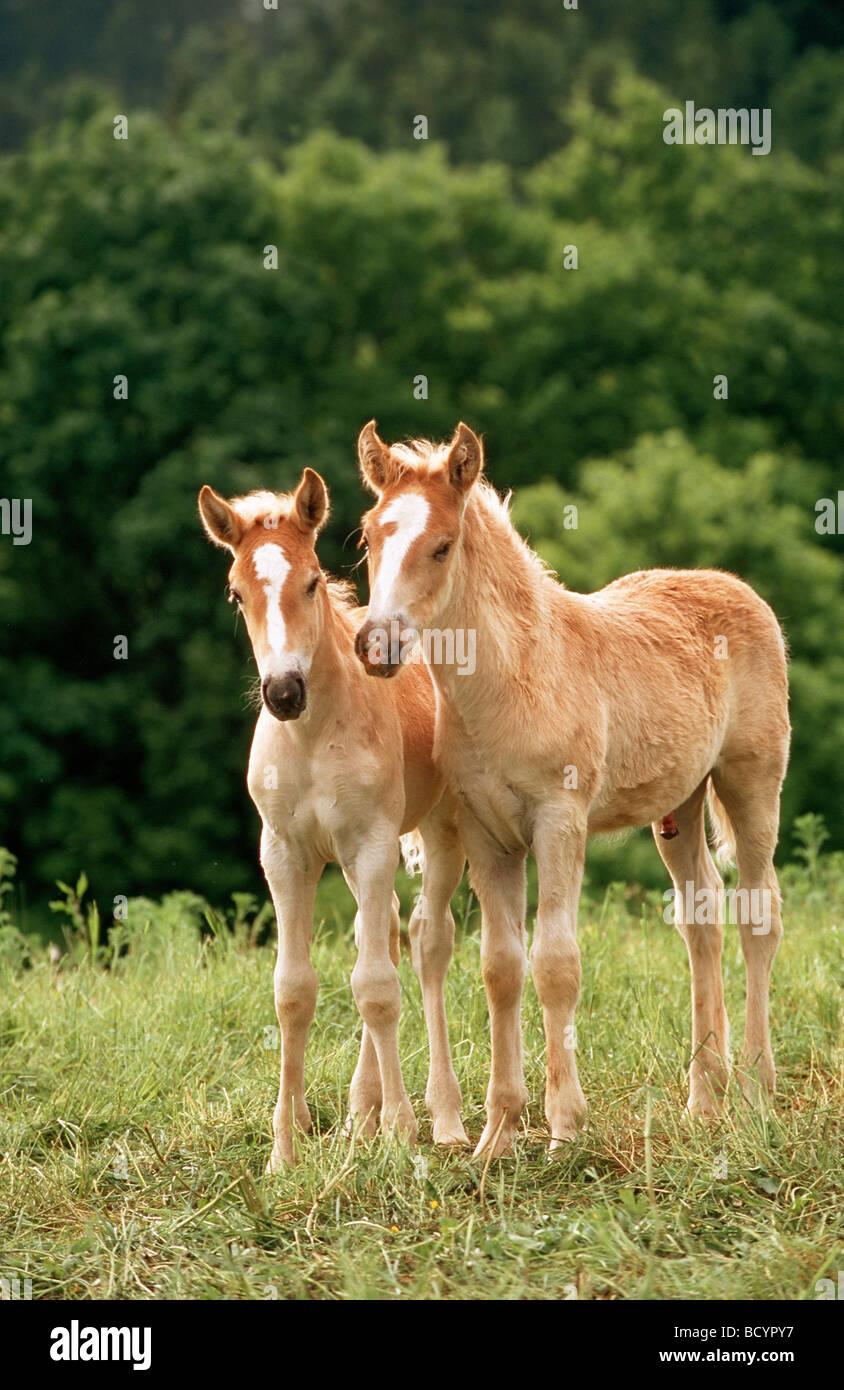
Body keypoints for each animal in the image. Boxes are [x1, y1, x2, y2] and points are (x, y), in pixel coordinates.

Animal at [198, 468, 469, 1170]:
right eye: (237, 593)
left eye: (313, 581)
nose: (283, 692)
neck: (315, 735)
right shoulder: (285, 854)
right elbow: (294, 990)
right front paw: (284, 1150)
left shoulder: (372, 844)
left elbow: (375, 987)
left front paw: (401, 1134)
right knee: (385, 932)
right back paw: (358, 1115)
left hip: (441, 832)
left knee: (427, 942)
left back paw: (443, 1119)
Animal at [354, 421, 791, 1159]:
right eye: (367, 538)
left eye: (441, 545)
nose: (374, 645)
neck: (516, 675)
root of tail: (736, 587)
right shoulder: (487, 832)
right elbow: (501, 967)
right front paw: (497, 1135)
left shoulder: (560, 819)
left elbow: (556, 962)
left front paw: (563, 1129)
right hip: (678, 804)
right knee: (701, 912)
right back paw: (704, 1102)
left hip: (751, 783)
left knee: (759, 913)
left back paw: (758, 1094)